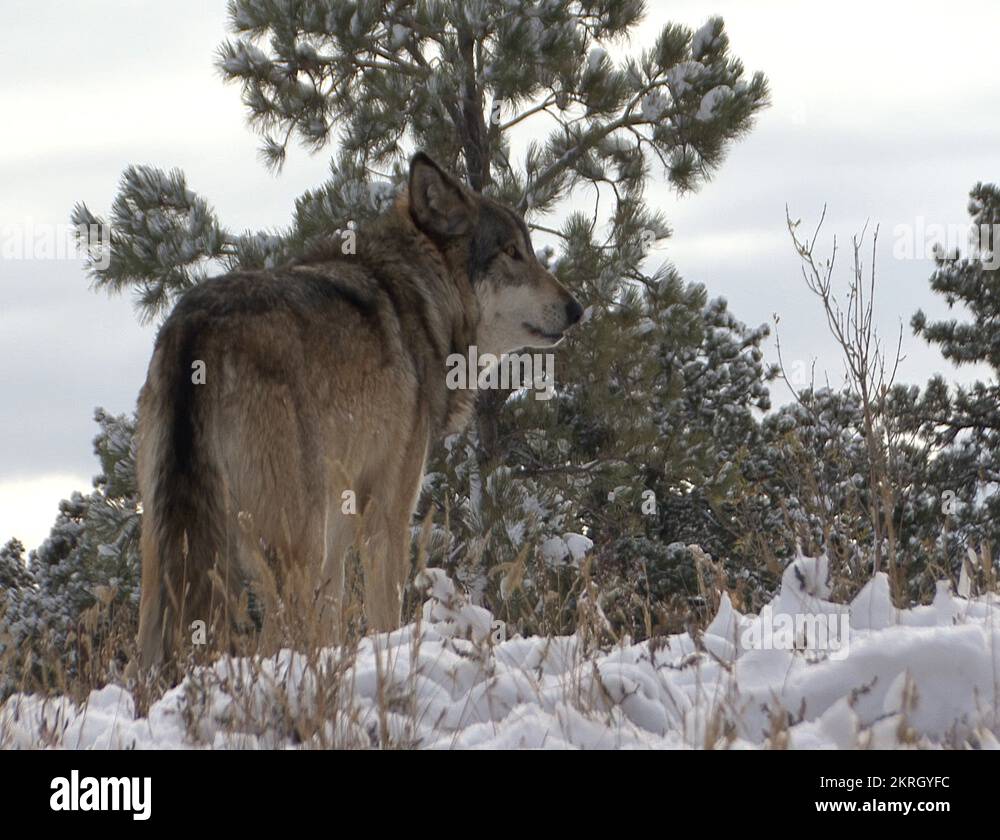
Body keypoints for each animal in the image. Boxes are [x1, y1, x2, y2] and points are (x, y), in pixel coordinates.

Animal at [136, 153, 583, 669]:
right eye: (512, 252)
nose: (578, 309)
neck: (422, 297)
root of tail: (195, 329)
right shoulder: (388, 510)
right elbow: (386, 613)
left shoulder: (343, 524)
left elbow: (331, 620)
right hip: (292, 545)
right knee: (276, 641)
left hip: (167, 551)